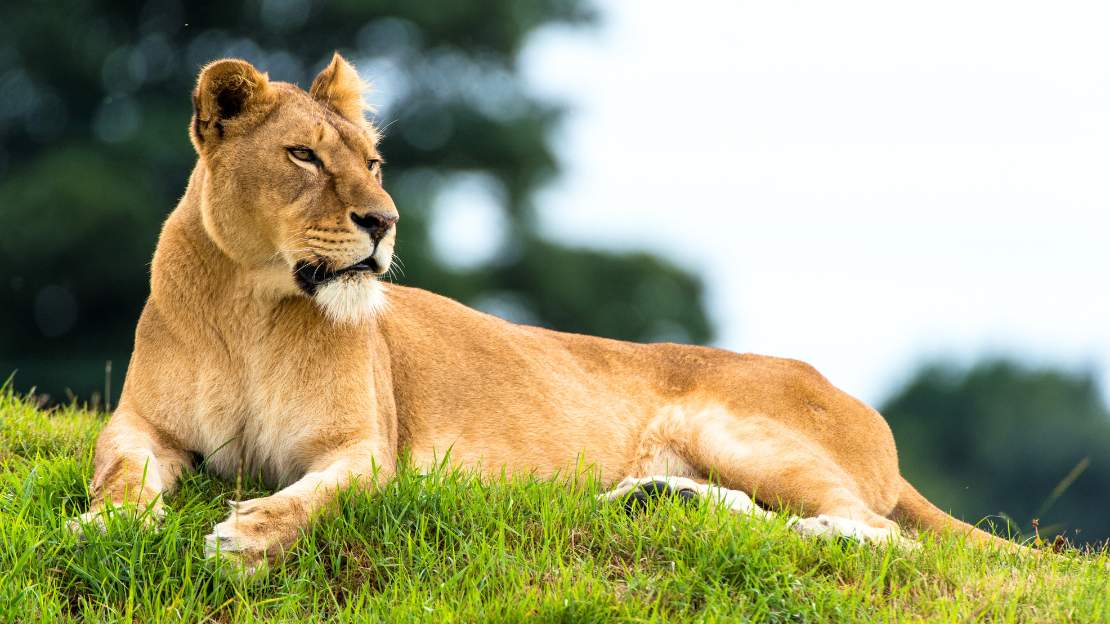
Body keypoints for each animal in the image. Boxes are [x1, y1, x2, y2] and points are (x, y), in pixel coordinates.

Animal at [71, 53, 1023, 571]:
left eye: (373, 162)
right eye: (303, 156)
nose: (383, 221)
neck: (254, 307)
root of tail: (867, 411)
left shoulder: (366, 450)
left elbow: (319, 495)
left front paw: (250, 537)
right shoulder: (141, 424)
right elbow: (119, 474)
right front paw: (101, 526)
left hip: (733, 426)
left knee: (882, 534)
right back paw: (651, 500)